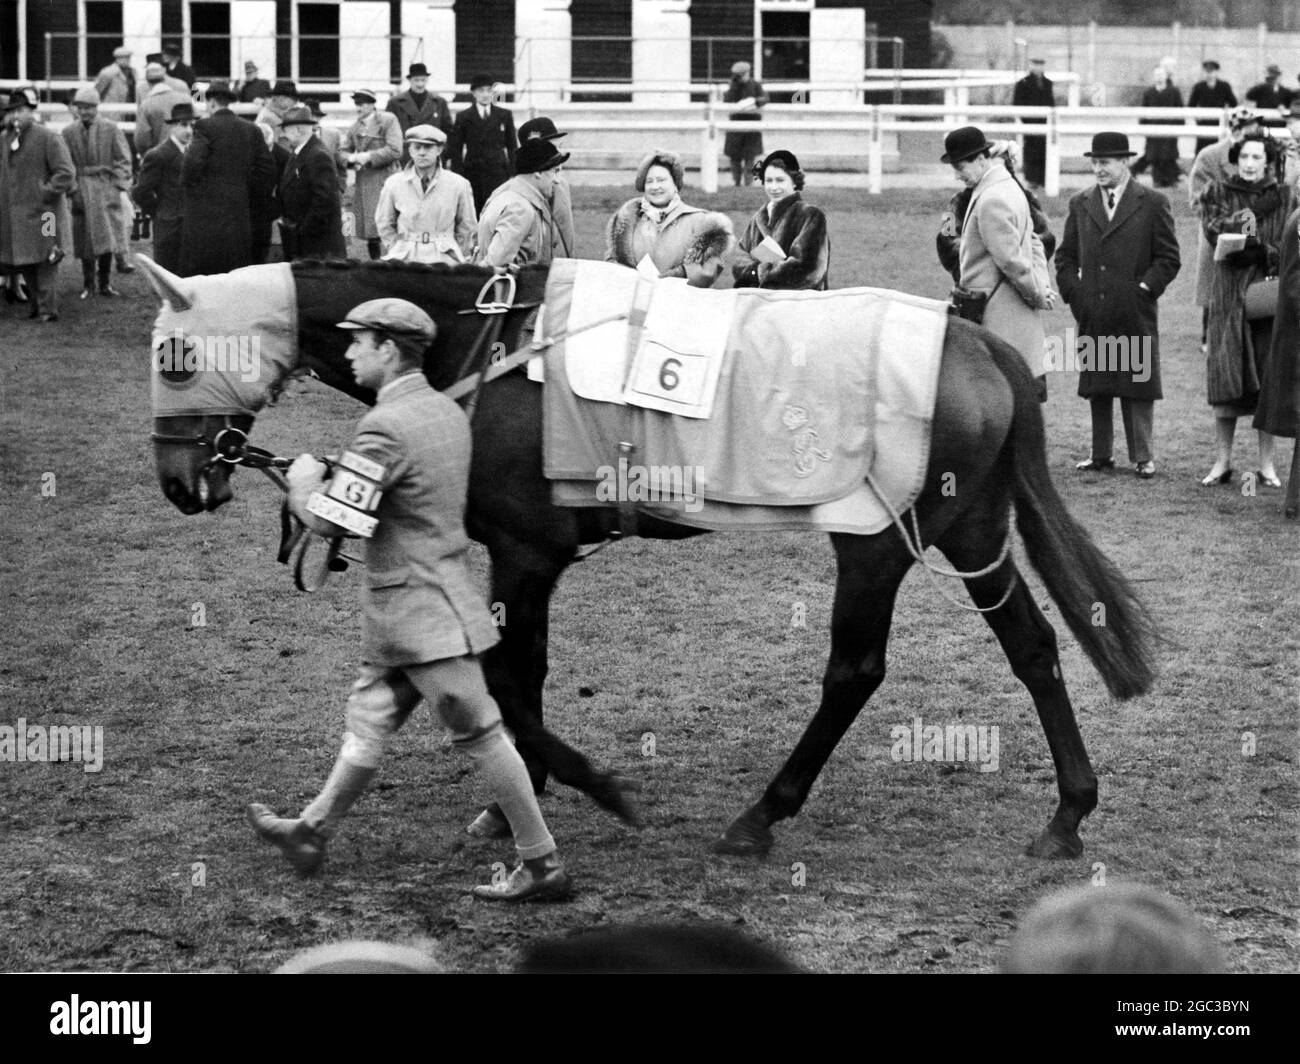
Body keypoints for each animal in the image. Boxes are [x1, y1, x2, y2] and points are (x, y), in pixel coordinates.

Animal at [147, 254, 1154, 853]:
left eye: (173, 356)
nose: (179, 479)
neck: (489, 342)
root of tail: (977, 341)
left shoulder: (525, 554)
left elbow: (512, 676)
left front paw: (571, 788)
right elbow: (497, 675)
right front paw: (511, 797)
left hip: (876, 542)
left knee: (855, 671)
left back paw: (763, 813)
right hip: (970, 530)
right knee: (1033, 647)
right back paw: (1069, 811)